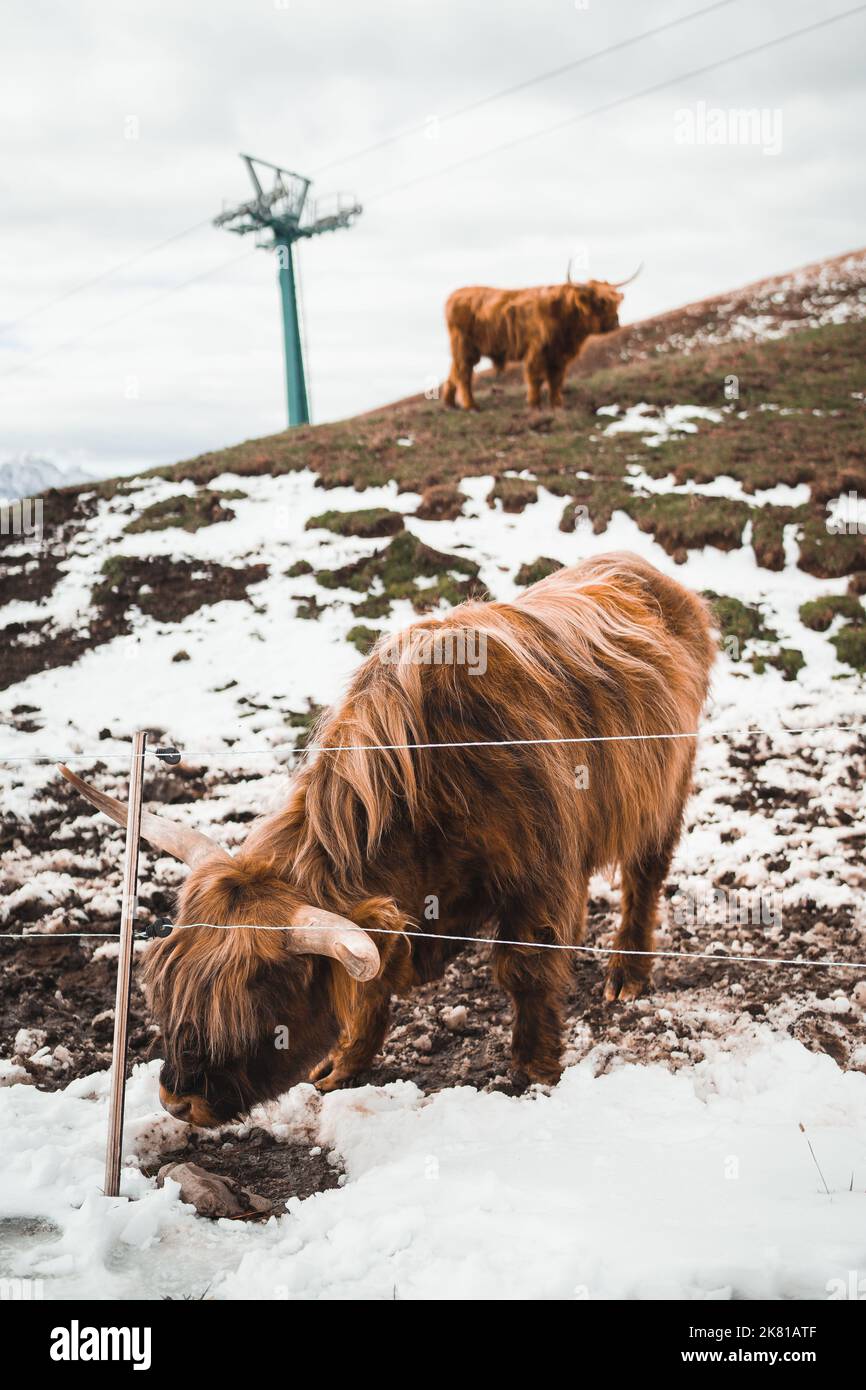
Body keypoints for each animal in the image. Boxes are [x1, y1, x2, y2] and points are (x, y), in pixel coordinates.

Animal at [60, 550, 714, 1126]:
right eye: (168, 994)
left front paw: (535, 1072)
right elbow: (366, 987)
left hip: (666, 787)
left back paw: (627, 976)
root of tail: (644, 568)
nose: (177, 1101)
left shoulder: (541, 883)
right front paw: (340, 1067)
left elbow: (526, 973)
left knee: (645, 876)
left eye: (257, 999)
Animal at [442, 266, 639, 411]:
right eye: (600, 302)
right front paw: (534, 405)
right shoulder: (537, 350)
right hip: (465, 347)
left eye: (615, 301)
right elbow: (536, 377)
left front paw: (557, 405)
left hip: (463, 349)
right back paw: (471, 406)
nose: (614, 323)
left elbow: (556, 379)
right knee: (464, 374)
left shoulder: (559, 355)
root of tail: (455, 295)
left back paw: (449, 403)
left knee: (454, 372)